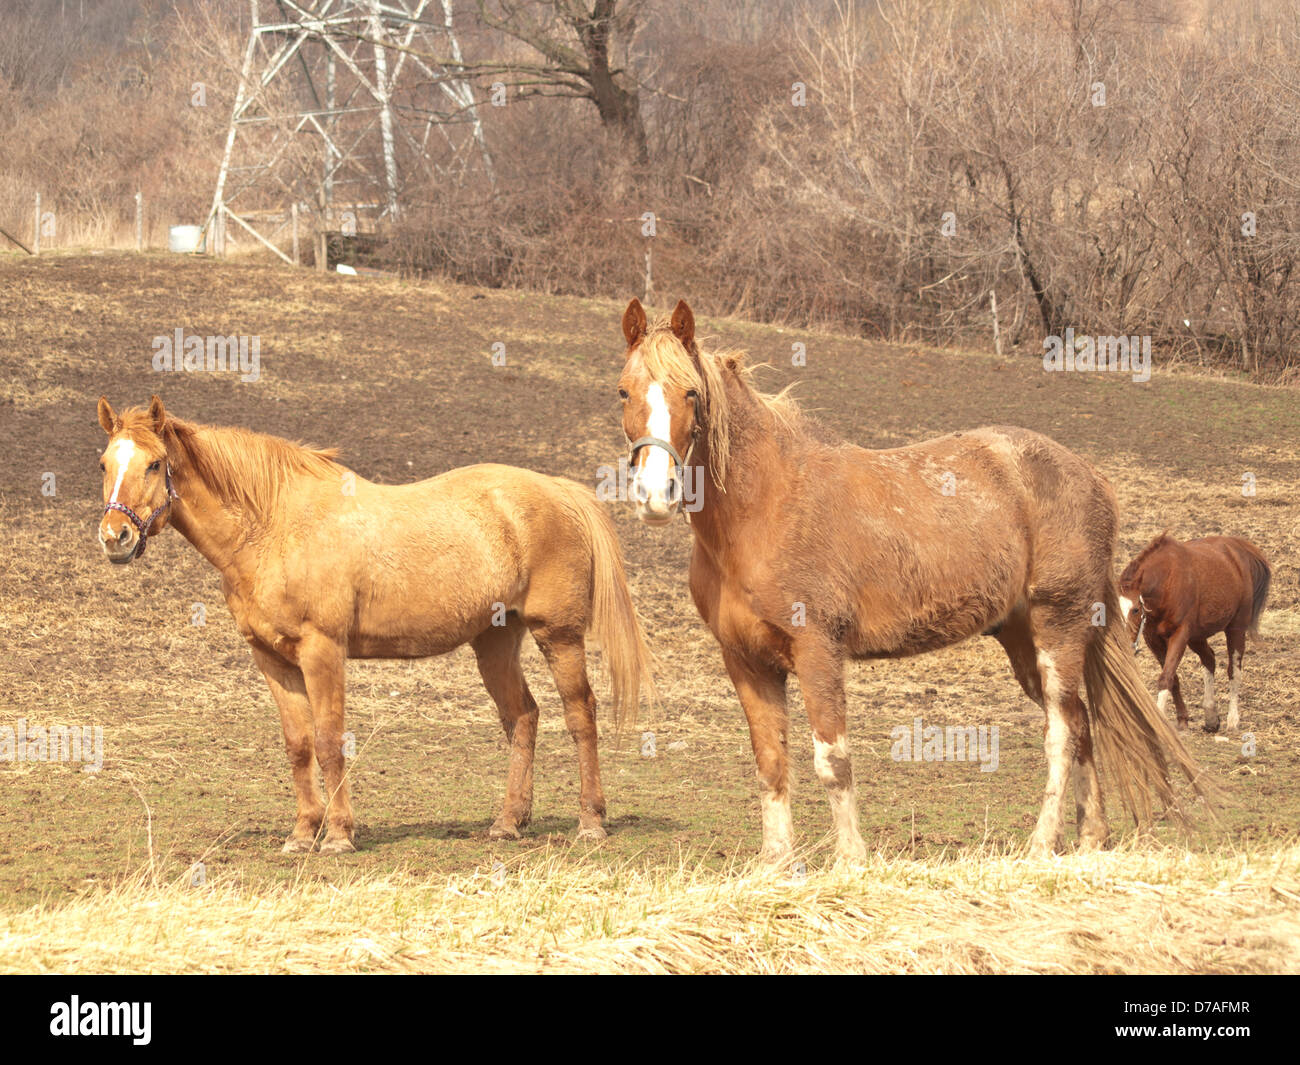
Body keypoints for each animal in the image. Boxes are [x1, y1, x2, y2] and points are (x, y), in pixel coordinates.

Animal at [95, 396, 652, 853]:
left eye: (155, 463)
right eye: (104, 463)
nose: (114, 536)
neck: (274, 526)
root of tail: (558, 492)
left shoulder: (322, 651)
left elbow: (328, 740)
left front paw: (339, 835)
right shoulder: (272, 660)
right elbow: (298, 746)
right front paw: (303, 833)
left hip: (558, 635)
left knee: (580, 715)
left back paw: (590, 822)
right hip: (495, 641)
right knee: (523, 718)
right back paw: (508, 822)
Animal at [614, 298, 1208, 860]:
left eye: (691, 393)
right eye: (623, 392)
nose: (655, 495)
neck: (766, 507)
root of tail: (1092, 478)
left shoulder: (817, 651)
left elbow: (833, 761)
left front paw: (851, 861)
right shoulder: (746, 662)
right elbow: (771, 763)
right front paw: (776, 864)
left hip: (1057, 630)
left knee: (1062, 734)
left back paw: (1042, 843)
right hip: (1023, 639)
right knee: (1082, 726)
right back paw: (1089, 839)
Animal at [1119, 533, 1271, 733]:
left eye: (1136, 609)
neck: (1167, 582)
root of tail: (1237, 548)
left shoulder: (1180, 634)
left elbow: (1166, 677)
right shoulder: (1153, 639)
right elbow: (1173, 677)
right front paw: (1183, 719)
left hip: (1235, 629)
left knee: (1234, 671)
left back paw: (1232, 720)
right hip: (1197, 638)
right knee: (1210, 659)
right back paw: (1211, 717)